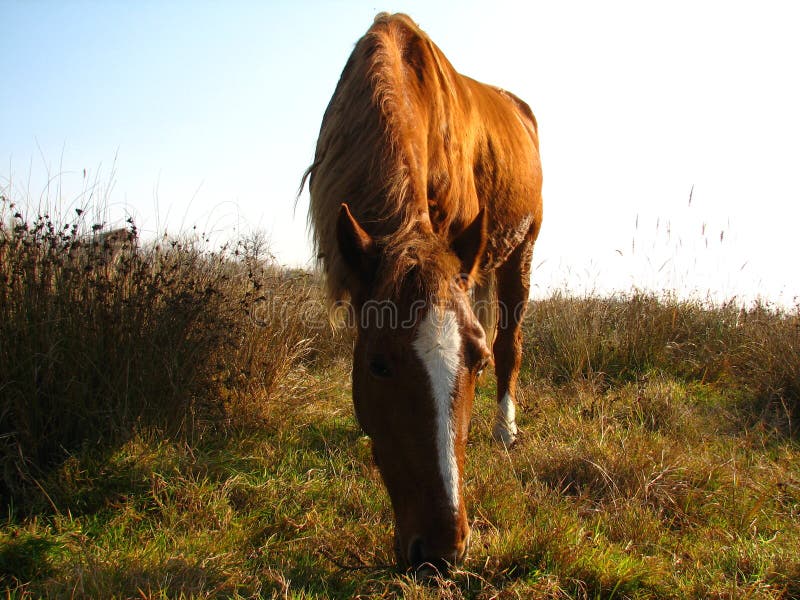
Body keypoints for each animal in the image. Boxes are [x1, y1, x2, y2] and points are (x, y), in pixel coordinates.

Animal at [302, 13, 543, 574]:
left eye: (474, 363)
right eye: (377, 365)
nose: (441, 551)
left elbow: (500, 346)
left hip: (521, 251)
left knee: (511, 342)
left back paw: (505, 429)